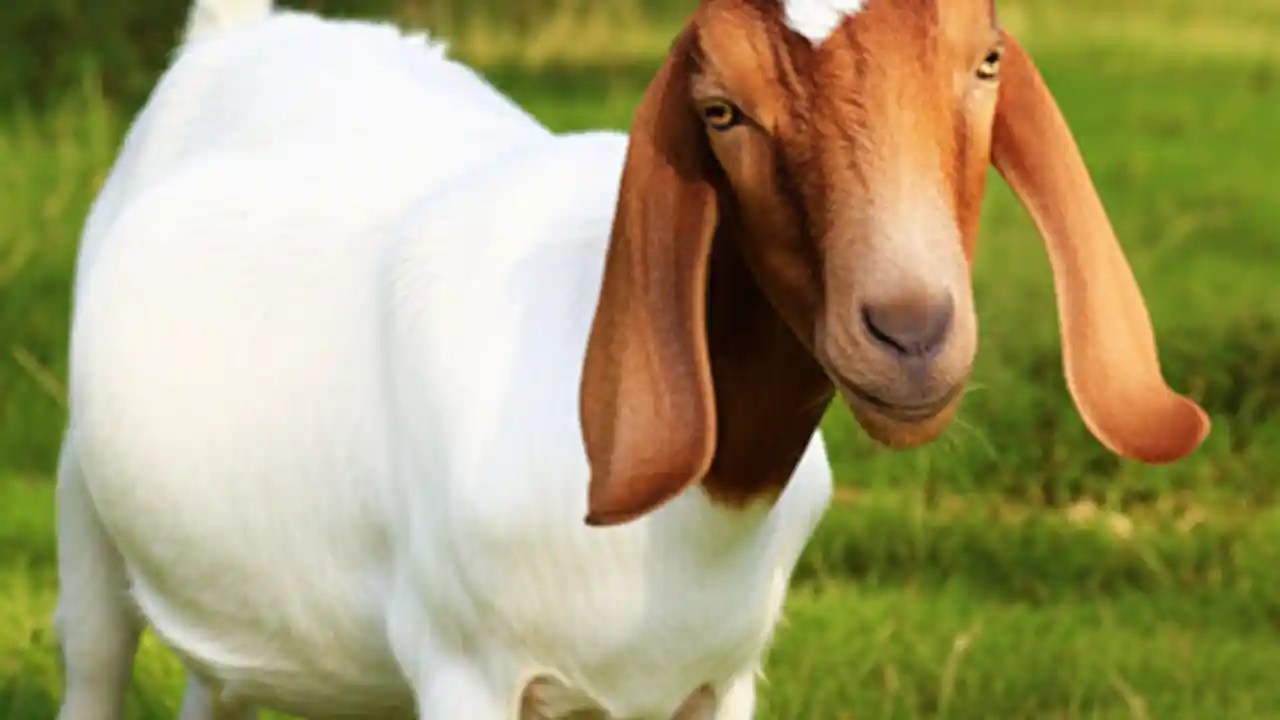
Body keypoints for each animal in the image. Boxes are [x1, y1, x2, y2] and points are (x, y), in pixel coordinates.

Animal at [55, 0, 1209, 717]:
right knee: (96, 660)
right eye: (720, 110)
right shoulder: (464, 672)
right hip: (82, 504)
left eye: (986, 61)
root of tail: (241, 37)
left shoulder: (719, 679)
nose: (911, 328)